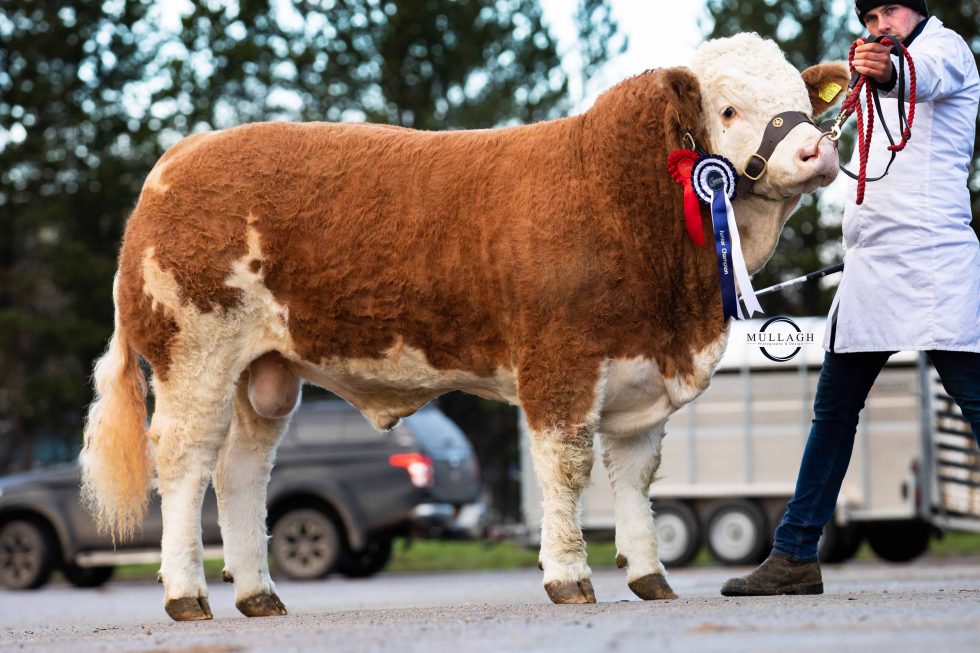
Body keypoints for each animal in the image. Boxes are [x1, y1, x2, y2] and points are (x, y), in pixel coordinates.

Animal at [81, 33, 849, 620]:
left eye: (800, 99)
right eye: (730, 107)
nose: (817, 151)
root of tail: (176, 161)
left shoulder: (640, 373)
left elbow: (635, 476)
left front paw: (650, 577)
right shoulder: (559, 365)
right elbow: (567, 467)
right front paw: (569, 577)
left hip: (263, 373)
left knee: (243, 468)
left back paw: (257, 594)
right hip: (195, 353)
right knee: (186, 462)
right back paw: (187, 595)